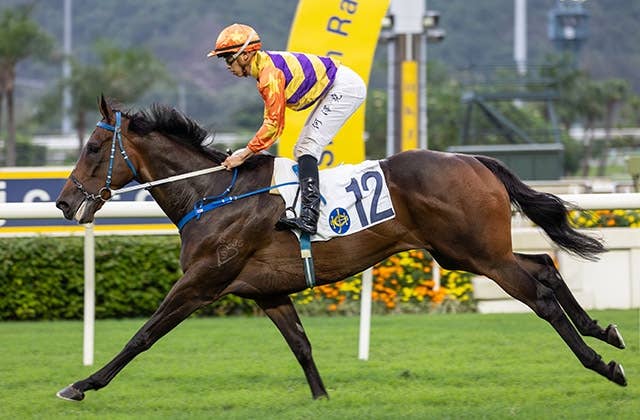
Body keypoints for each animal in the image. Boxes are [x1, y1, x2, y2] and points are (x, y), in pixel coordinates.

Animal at [55, 96, 627, 401]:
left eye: (92, 147)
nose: (63, 202)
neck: (213, 194)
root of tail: (473, 159)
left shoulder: (201, 283)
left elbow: (143, 336)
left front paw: (81, 384)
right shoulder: (267, 292)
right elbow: (301, 344)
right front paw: (322, 397)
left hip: (478, 254)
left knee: (540, 294)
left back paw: (602, 363)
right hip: (466, 252)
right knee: (546, 264)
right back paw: (606, 332)